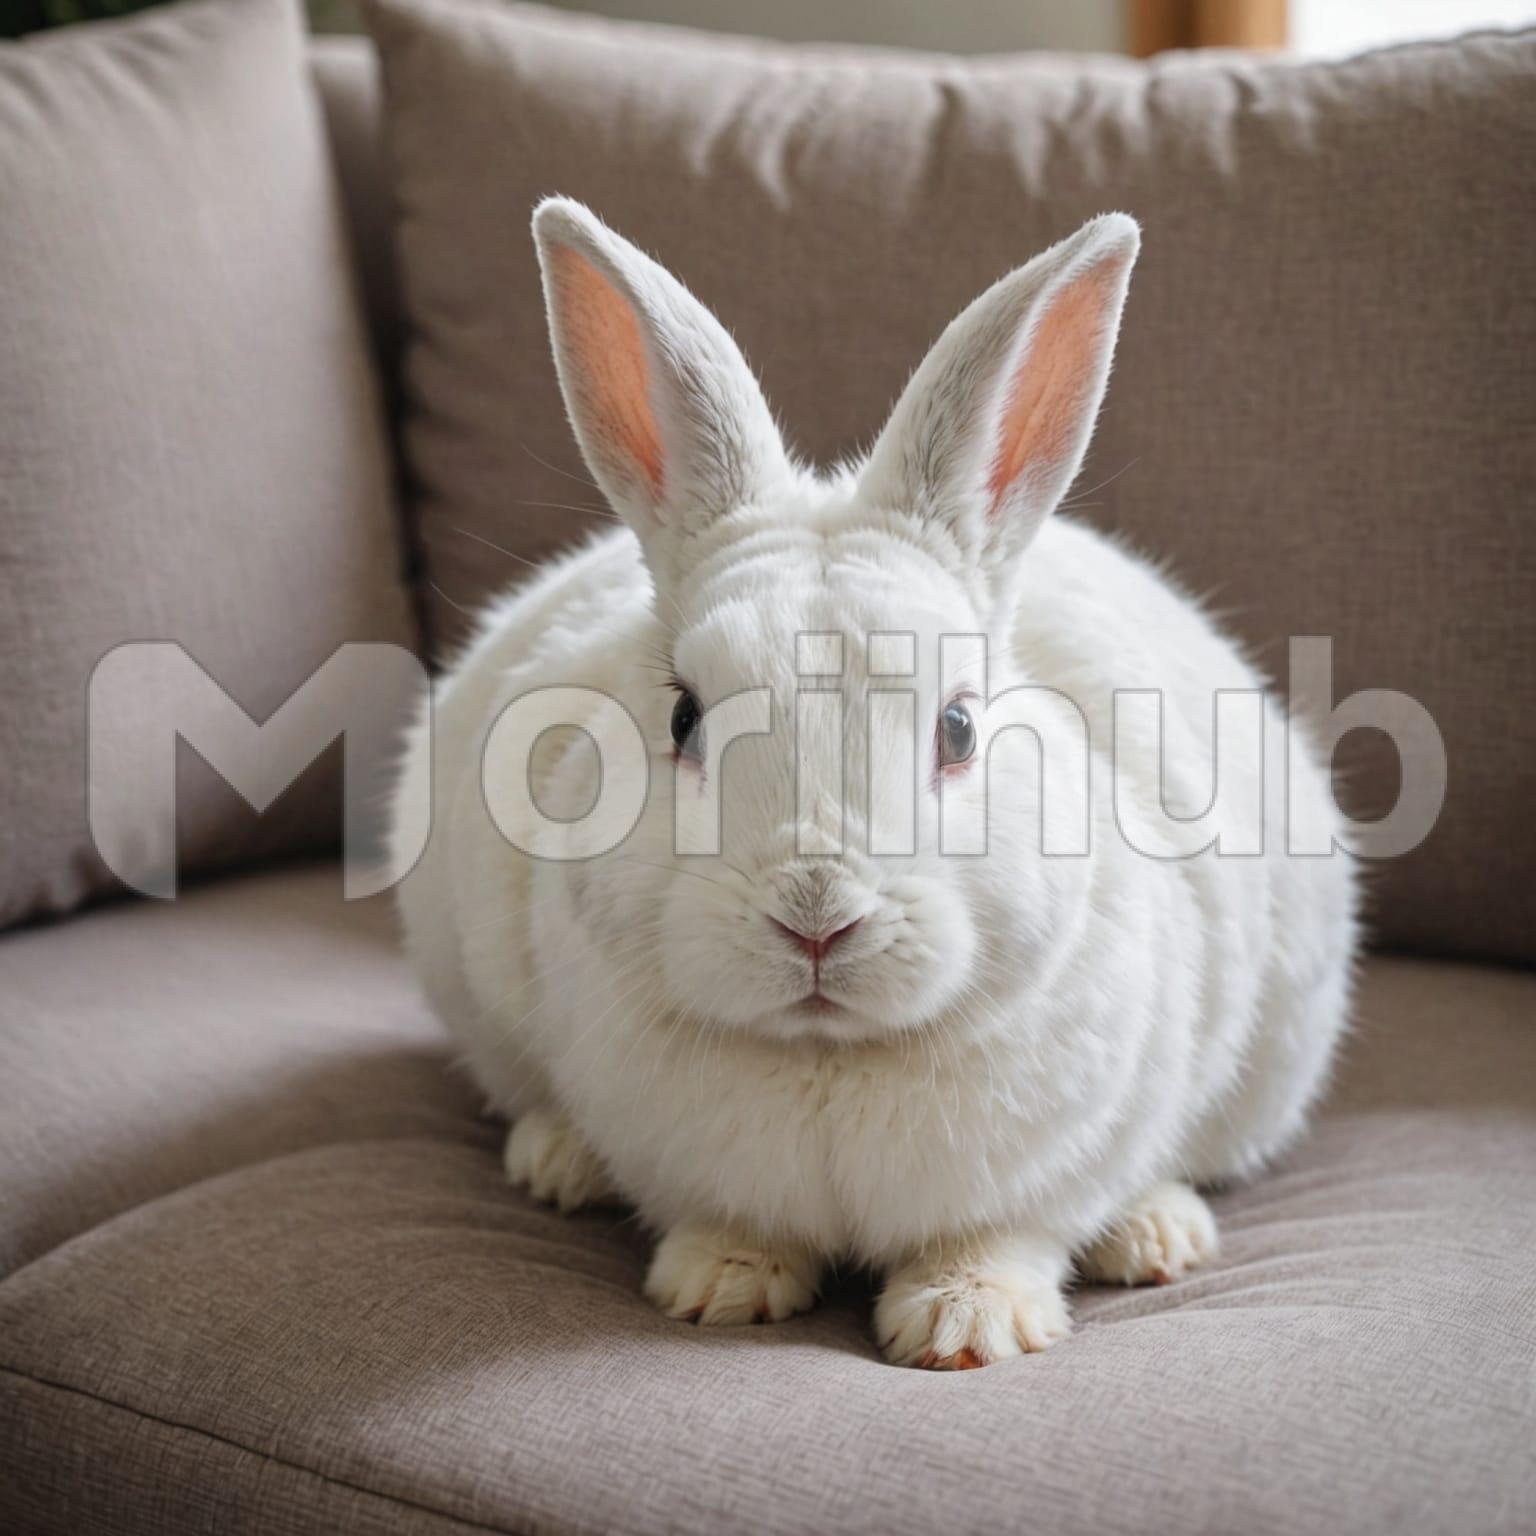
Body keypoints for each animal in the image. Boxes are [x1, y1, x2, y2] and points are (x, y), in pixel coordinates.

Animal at [391, 197, 1358, 1370]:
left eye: (959, 727)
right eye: (682, 718)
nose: (816, 917)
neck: (832, 1055)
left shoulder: (1049, 1171)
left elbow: (1007, 1235)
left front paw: (967, 1324)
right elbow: (725, 1222)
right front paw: (721, 1287)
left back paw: (1157, 1235)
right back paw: (557, 1163)